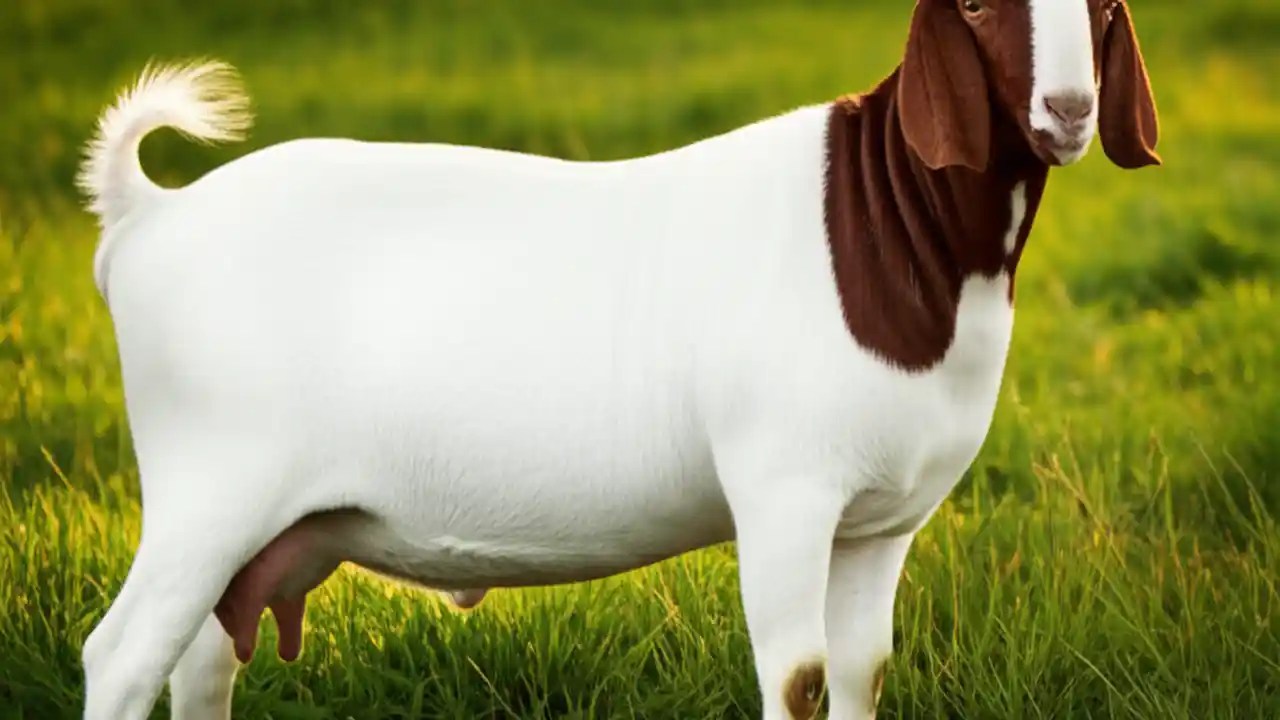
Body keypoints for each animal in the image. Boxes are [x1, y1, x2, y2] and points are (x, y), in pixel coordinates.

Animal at [77, 1, 1158, 718]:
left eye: (1105, 4)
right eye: (973, 4)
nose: (1068, 109)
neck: (883, 225)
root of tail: (148, 215)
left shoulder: (880, 521)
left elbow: (859, 676)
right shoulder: (783, 491)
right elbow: (798, 680)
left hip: (253, 528)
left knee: (201, 663)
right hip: (209, 484)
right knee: (122, 657)